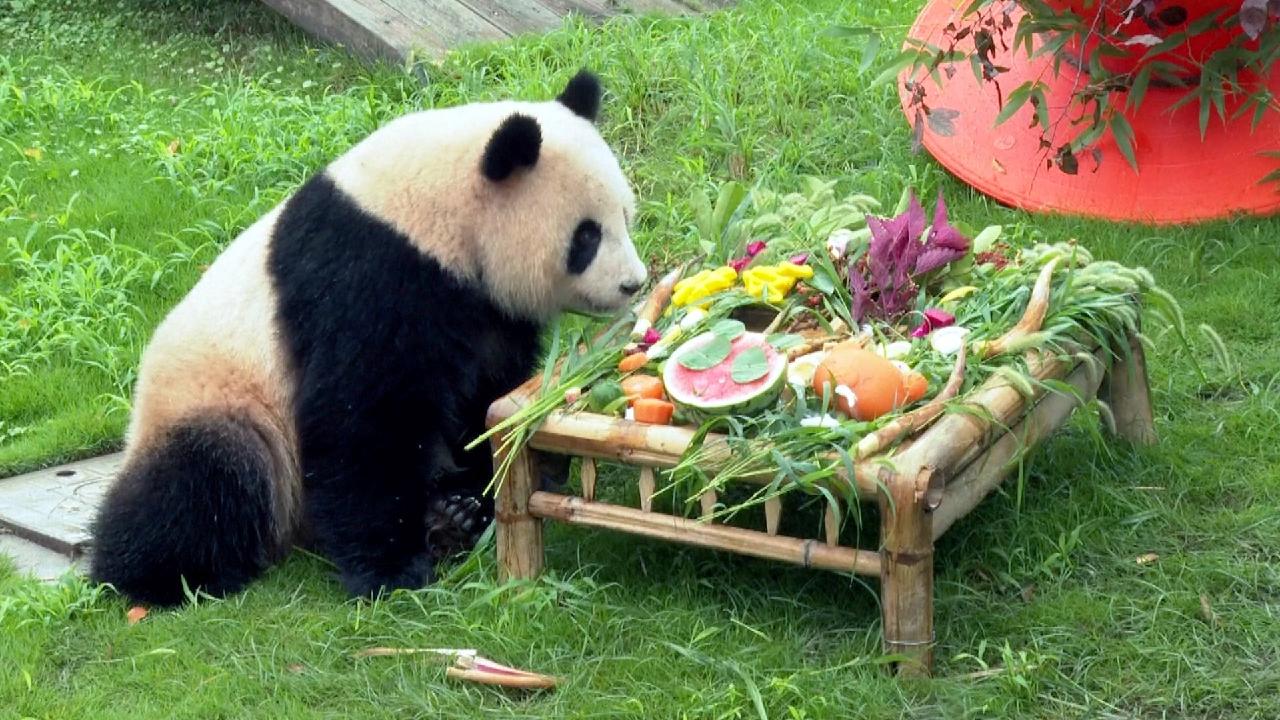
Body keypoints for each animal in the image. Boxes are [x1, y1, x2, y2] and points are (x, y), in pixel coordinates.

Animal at [88, 71, 648, 606]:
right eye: (586, 236)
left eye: (625, 216)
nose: (633, 284)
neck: (440, 212)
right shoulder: (368, 274)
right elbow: (362, 416)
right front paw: (391, 571)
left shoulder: (482, 306)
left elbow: (484, 389)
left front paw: (497, 479)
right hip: (216, 400)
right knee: (204, 479)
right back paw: (157, 574)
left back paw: (456, 514)